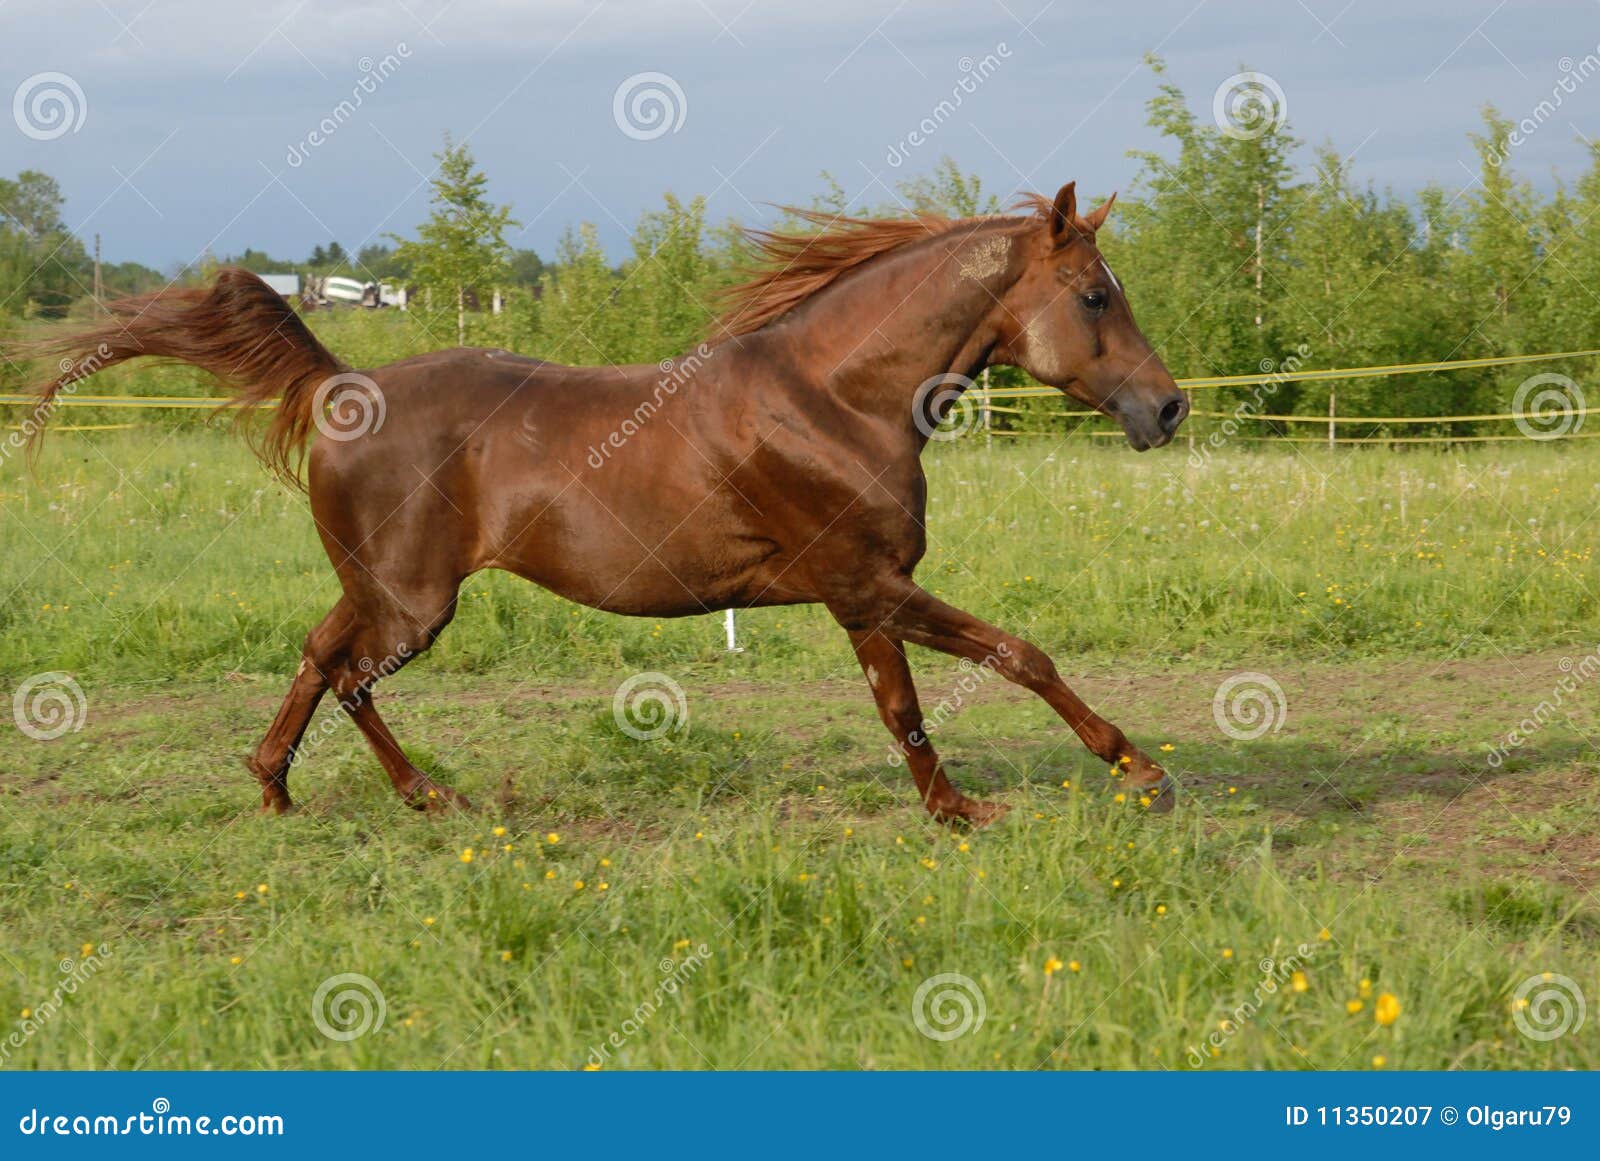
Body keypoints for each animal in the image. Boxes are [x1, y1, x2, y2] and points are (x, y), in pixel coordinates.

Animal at [25, 180, 1188, 827]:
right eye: (1095, 295)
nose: (1169, 406)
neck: (832, 398)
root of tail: (342, 385)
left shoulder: (863, 594)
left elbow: (918, 696)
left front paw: (967, 807)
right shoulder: (867, 584)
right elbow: (1006, 660)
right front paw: (1129, 773)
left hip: (381, 588)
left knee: (318, 656)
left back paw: (286, 788)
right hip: (411, 604)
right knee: (349, 674)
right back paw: (414, 794)